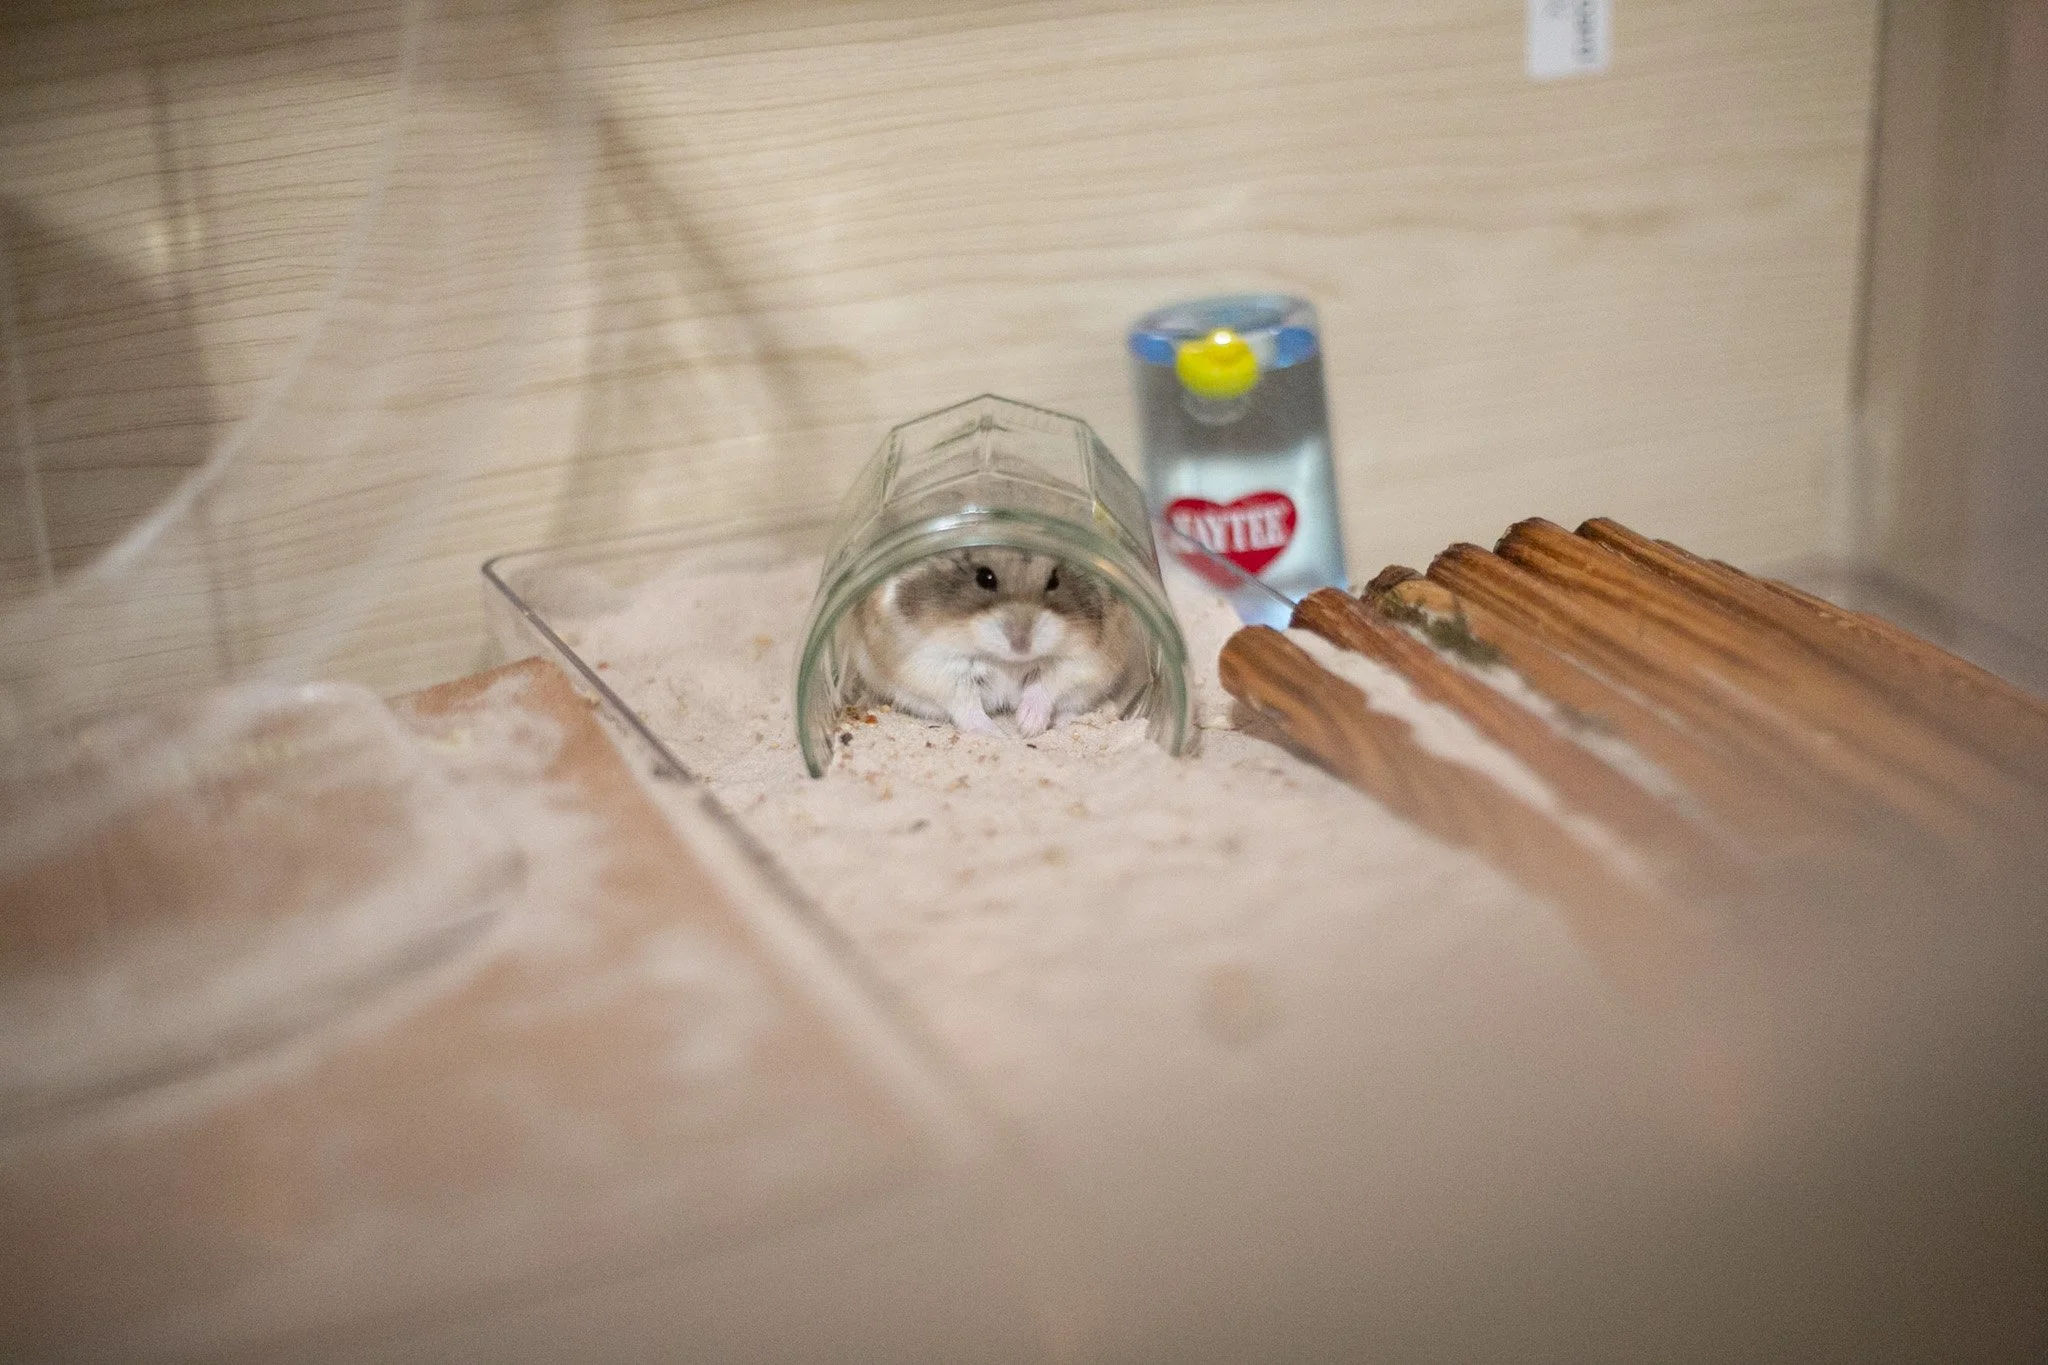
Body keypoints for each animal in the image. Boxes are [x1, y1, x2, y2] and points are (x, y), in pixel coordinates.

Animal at [844, 548, 1146, 737]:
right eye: (984, 578)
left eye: (1055, 580)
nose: (1022, 645)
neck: (1007, 661)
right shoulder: (932, 666)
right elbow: (965, 702)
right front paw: (998, 735)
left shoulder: (1083, 662)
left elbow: (1046, 686)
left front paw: (1027, 726)